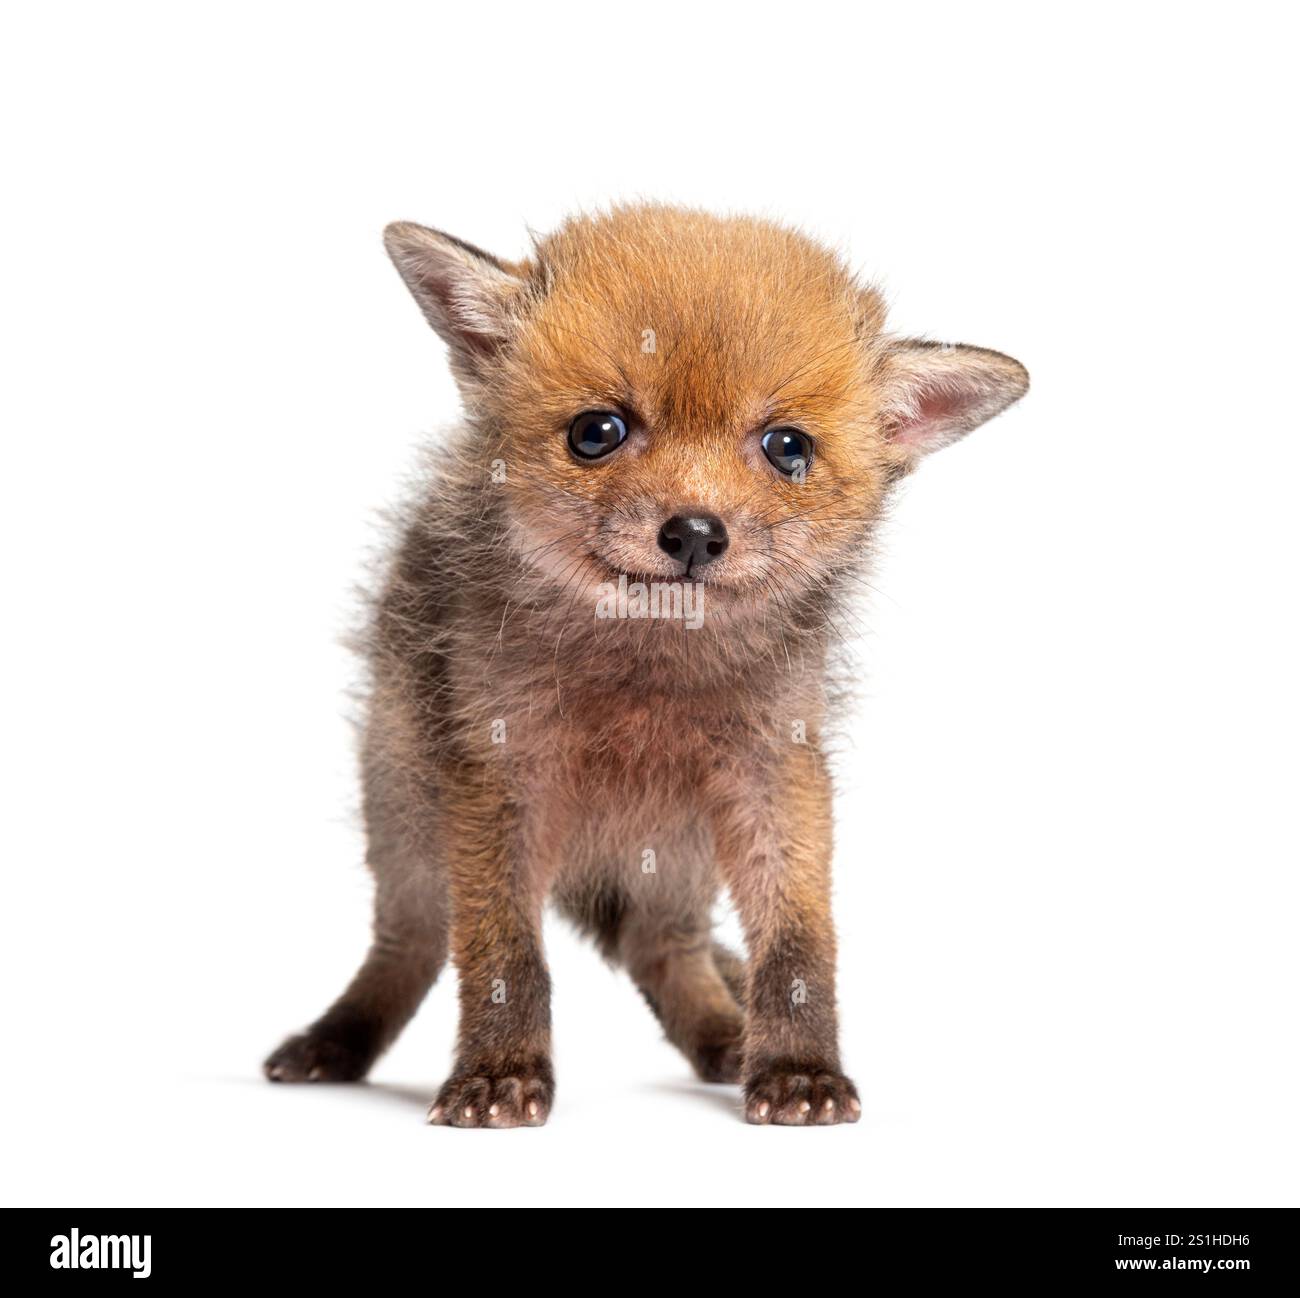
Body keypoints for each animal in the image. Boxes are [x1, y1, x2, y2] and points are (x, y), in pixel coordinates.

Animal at [264, 205, 1028, 1126]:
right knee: (411, 943)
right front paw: (499, 1075)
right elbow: (501, 956)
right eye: (597, 432)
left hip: (678, 856)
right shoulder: (498, 776)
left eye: (787, 447)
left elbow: (799, 947)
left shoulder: (777, 774)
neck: (645, 676)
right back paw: (336, 1040)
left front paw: (798, 1069)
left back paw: (723, 1037)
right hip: (406, 819)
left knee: (666, 950)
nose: (694, 533)